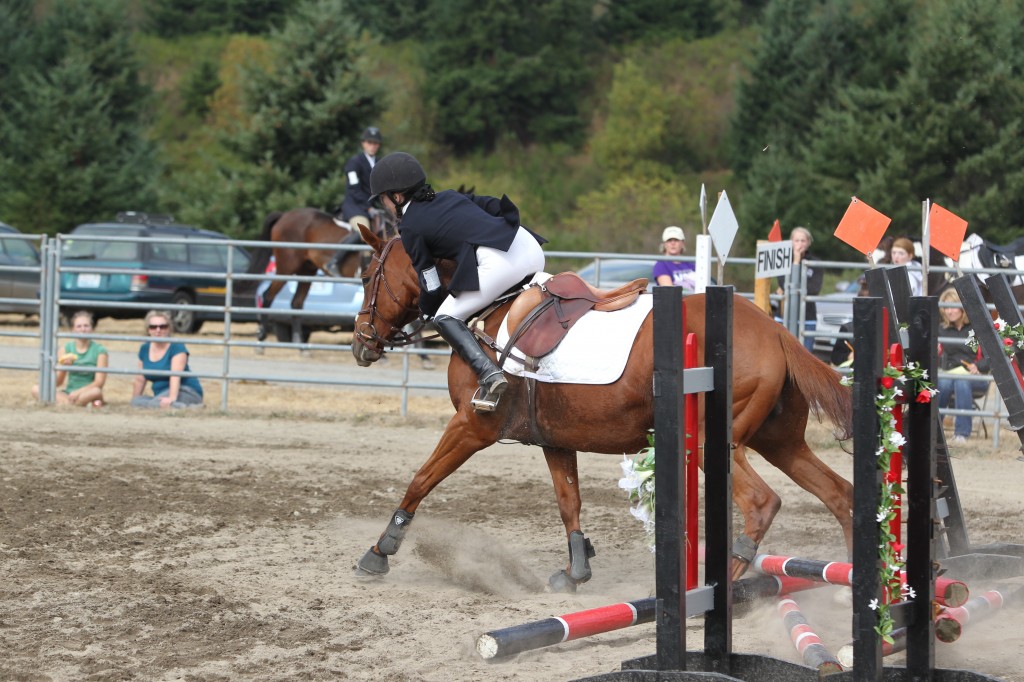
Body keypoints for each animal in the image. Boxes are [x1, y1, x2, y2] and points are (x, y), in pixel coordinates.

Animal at [348, 225, 856, 592]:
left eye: (368, 277)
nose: (360, 344)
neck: (488, 314)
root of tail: (777, 332)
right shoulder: (555, 440)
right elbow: (568, 501)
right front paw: (576, 572)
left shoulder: (472, 426)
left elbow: (420, 479)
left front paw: (380, 550)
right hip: (780, 442)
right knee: (841, 495)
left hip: (713, 444)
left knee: (760, 503)